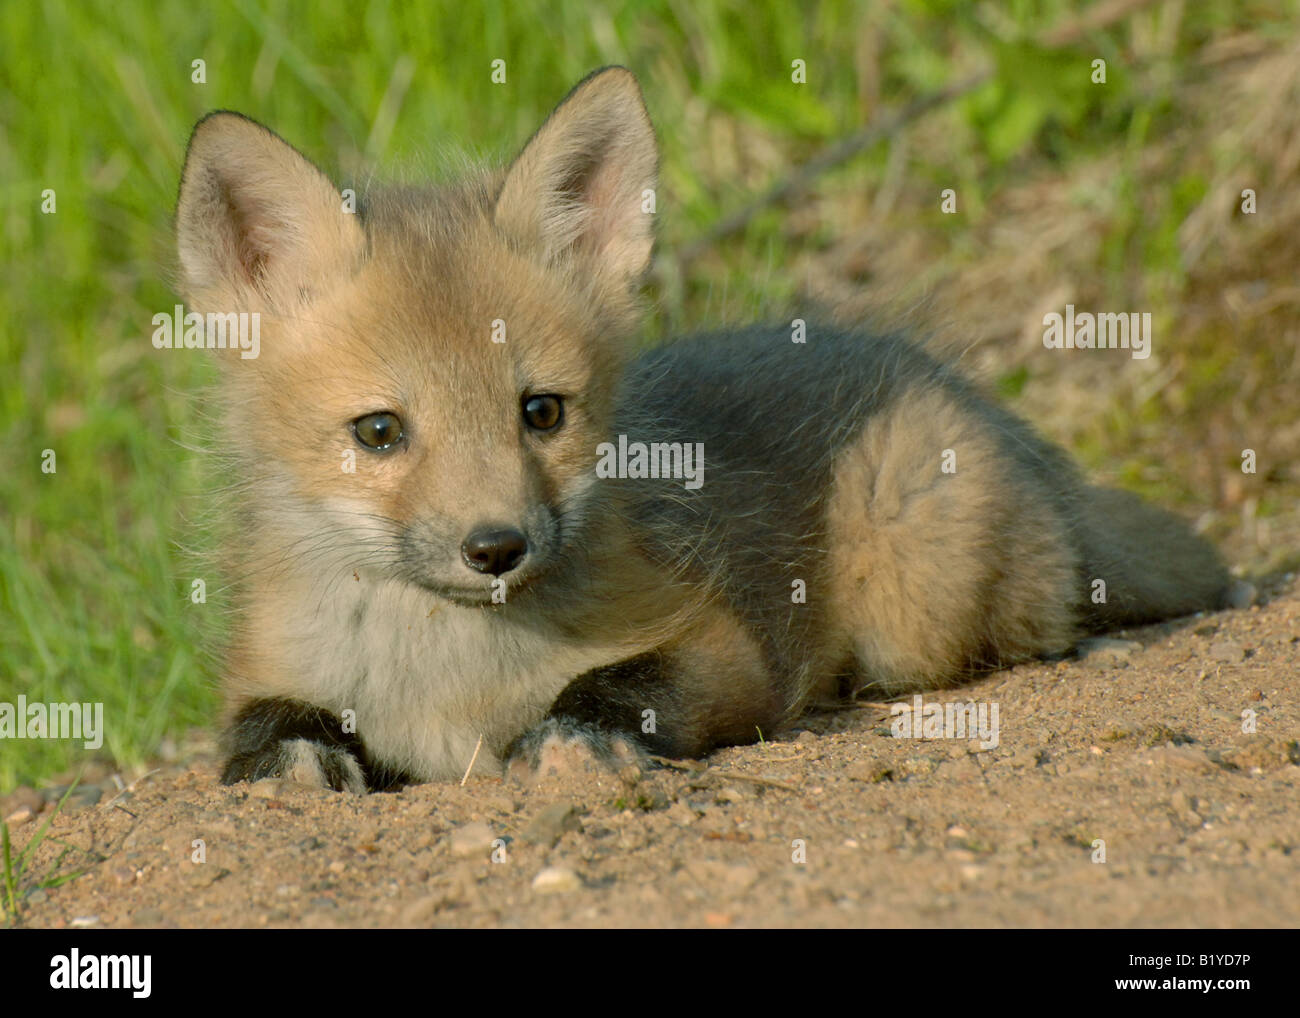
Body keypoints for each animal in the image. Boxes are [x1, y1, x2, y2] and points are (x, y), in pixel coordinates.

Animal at [174, 67, 1232, 794]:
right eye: (381, 431)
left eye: (541, 412)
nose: (497, 547)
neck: (441, 672)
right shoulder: (262, 675)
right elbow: (262, 731)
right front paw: (295, 761)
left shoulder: (721, 642)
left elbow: (617, 689)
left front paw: (567, 739)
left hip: (917, 607)